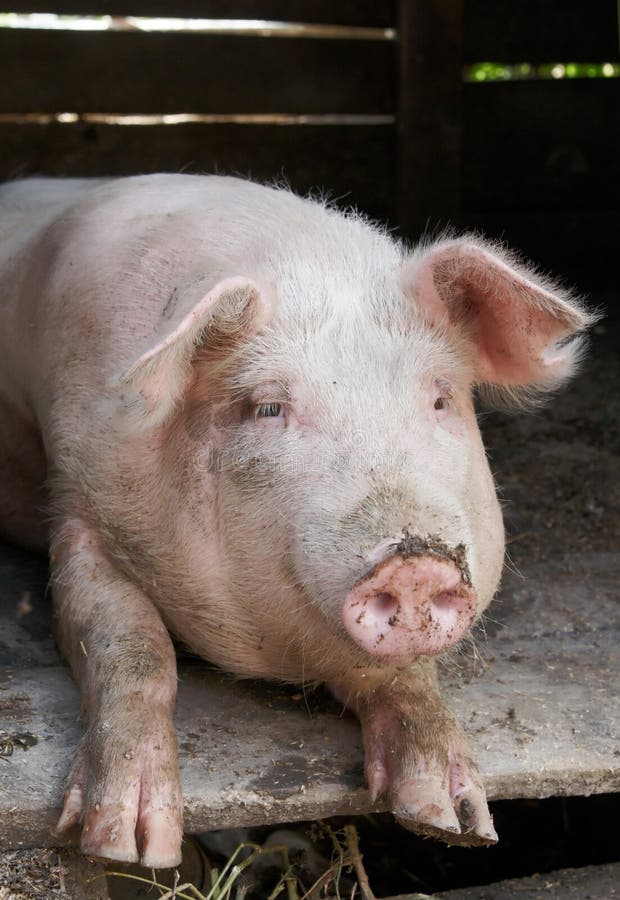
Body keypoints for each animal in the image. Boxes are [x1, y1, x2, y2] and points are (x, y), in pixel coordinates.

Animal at [0, 174, 595, 867]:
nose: (416, 562)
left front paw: (456, 820)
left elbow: (406, 677)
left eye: (441, 399)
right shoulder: (78, 502)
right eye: (268, 408)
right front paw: (128, 847)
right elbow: (132, 644)